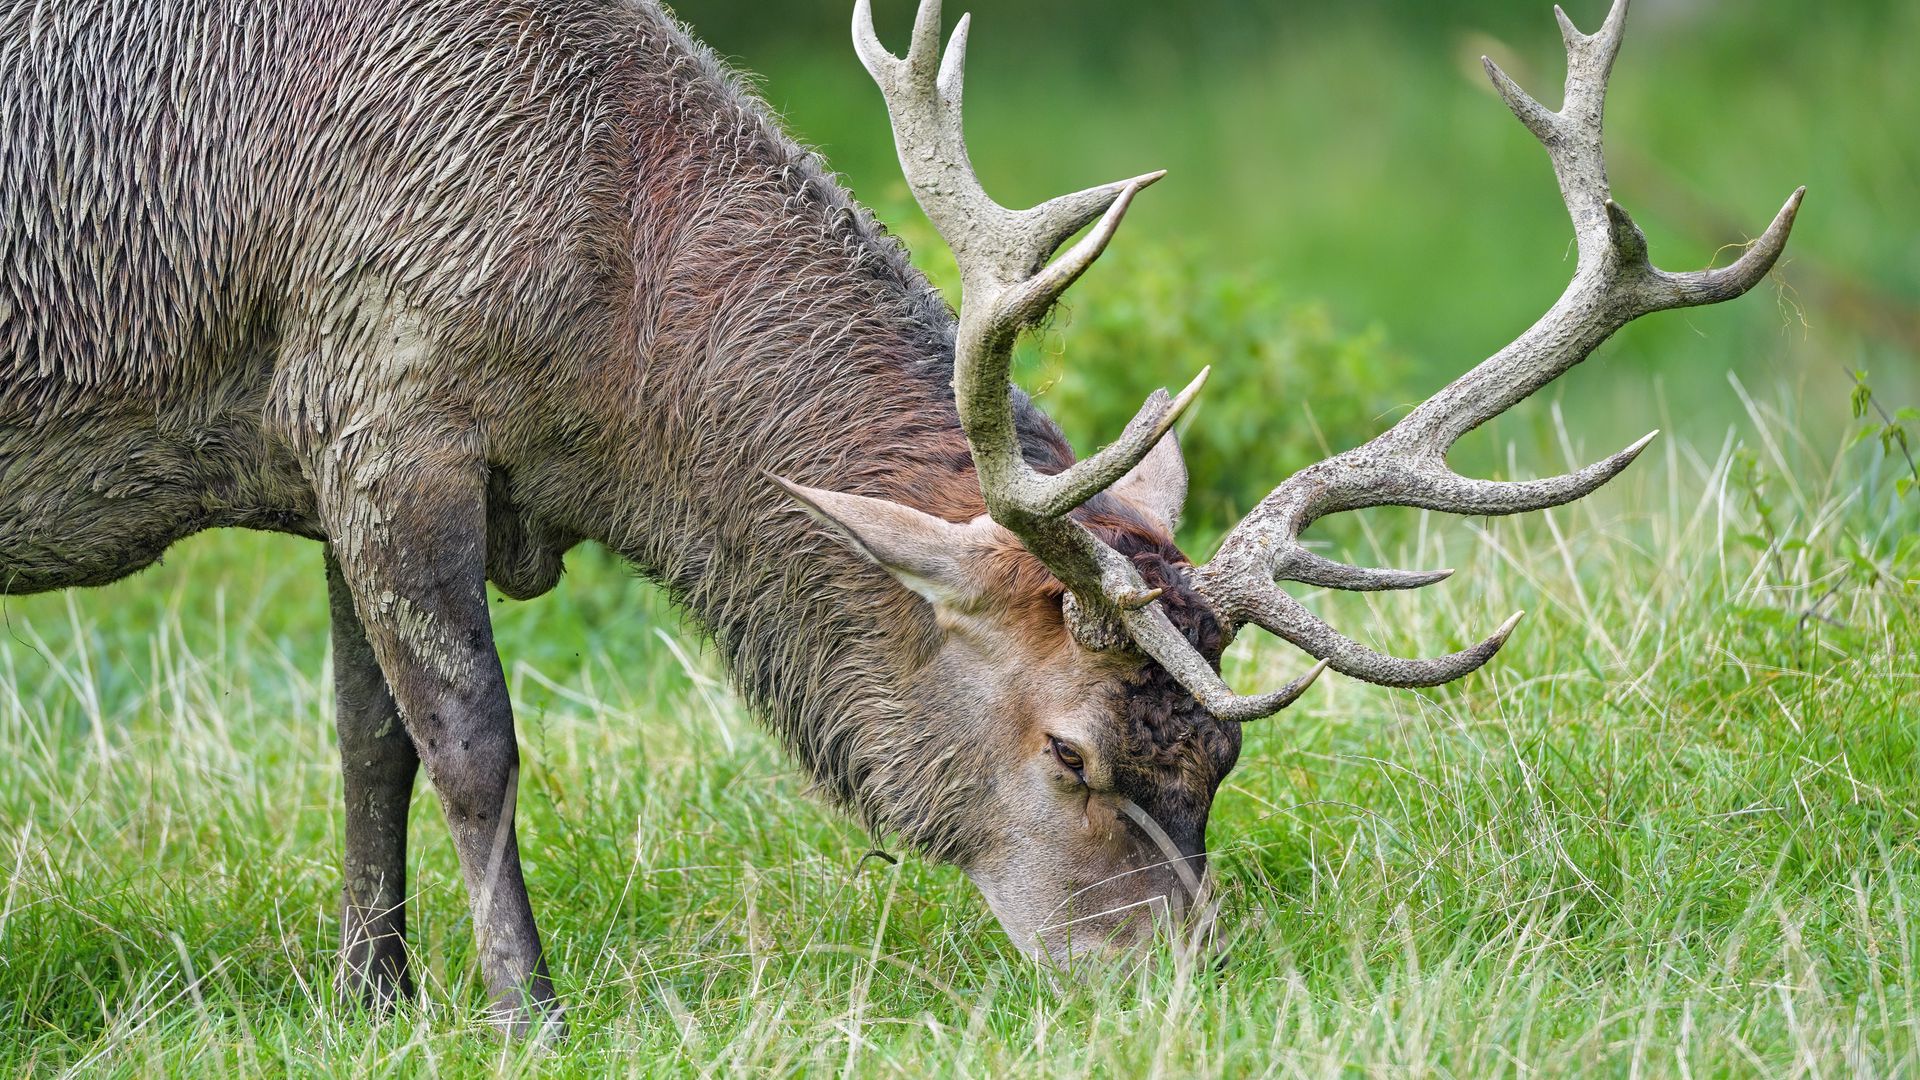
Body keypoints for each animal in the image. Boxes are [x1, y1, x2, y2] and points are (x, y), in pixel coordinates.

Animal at [0, 0, 1799, 1036]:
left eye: (1224, 755)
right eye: (1071, 751)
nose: (1179, 993)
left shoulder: (331, 450)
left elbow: (364, 742)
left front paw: (377, 1004)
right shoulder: (389, 403)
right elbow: (471, 748)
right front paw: (529, 1017)